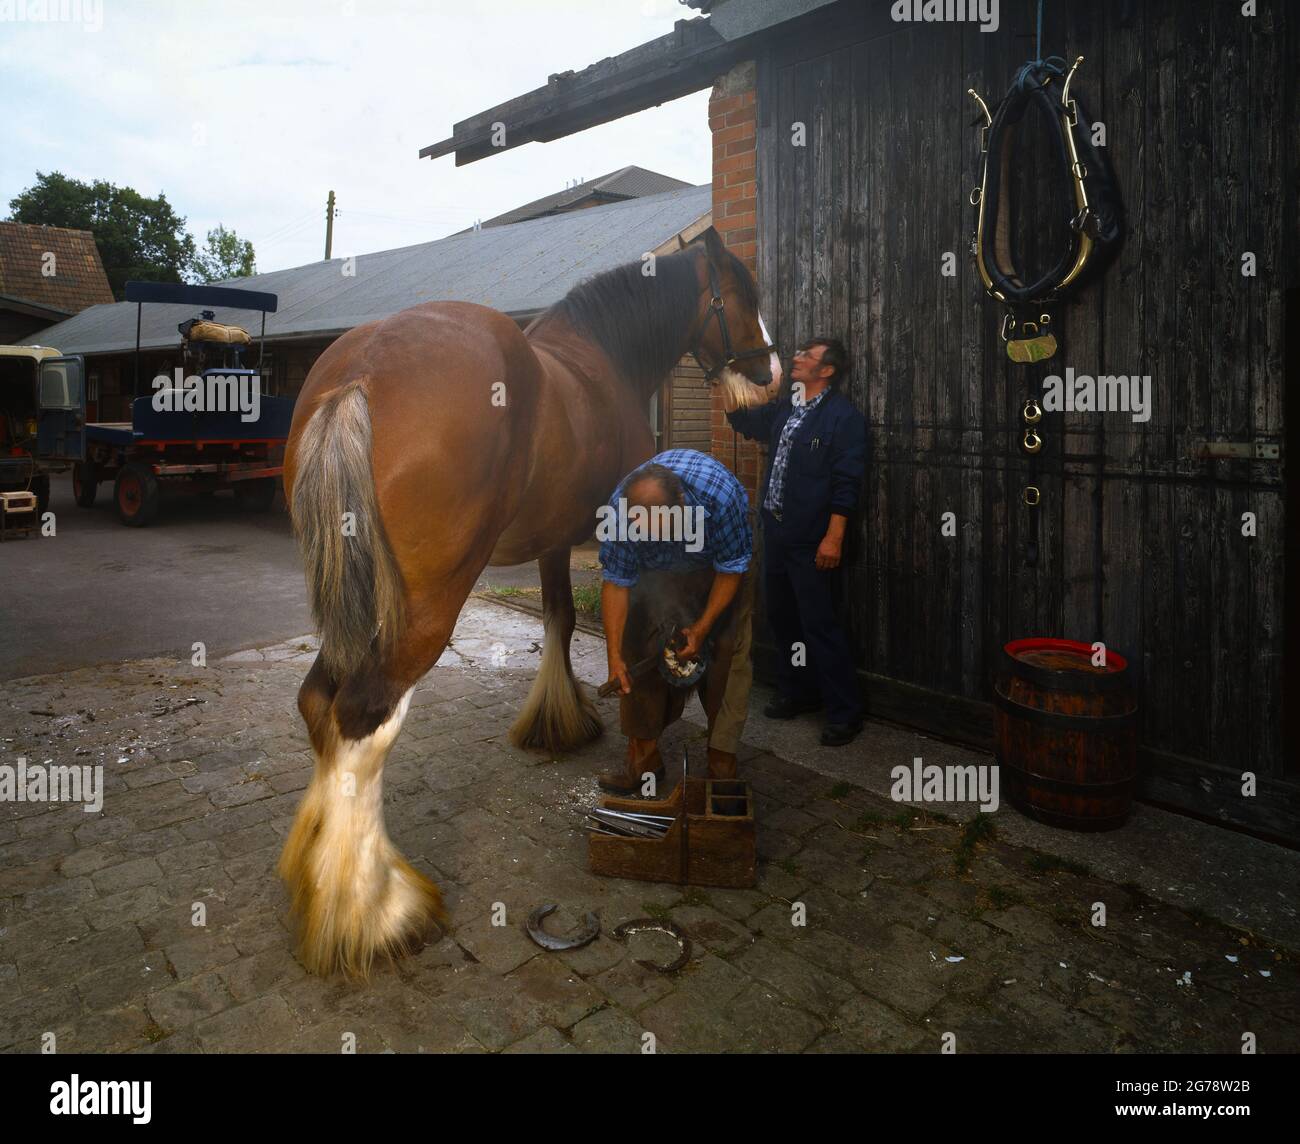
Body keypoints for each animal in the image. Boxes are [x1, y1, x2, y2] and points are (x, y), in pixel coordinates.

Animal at [279, 226, 780, 977]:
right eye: (745, 295)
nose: (770, 375)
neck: (604, 358)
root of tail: (359, 374)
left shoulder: (552, 540)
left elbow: (558, 618)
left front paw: (554, 721)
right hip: (426, 605)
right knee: (364, 716)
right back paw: (376, 913)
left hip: (356, 603)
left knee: (320, 703)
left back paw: (319, 877)